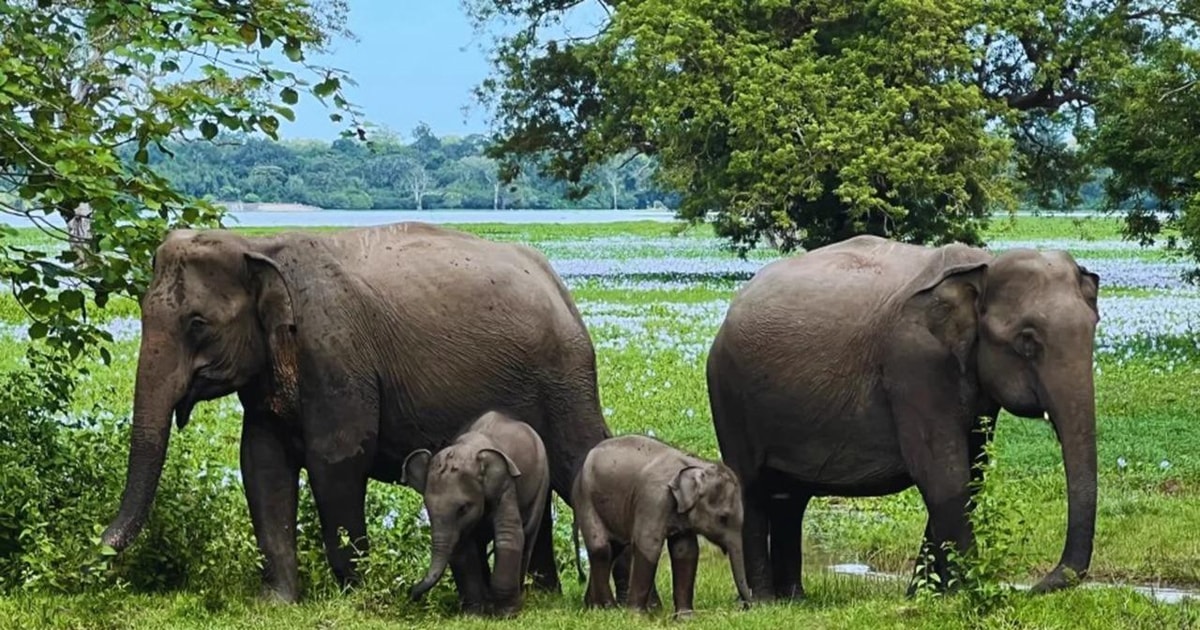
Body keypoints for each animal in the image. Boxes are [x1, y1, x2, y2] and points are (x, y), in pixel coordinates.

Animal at [401, 410, 550, 617]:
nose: (411, 593)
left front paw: (506, 614)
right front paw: (473, 615)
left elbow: (508, 536)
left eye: (463, 508)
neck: (469, 448)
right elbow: (462, 547)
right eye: (427, 508)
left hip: (542, 483)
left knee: (527, 536)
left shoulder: (506, 485)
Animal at [571, 435, 754, 618]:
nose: (745, 606)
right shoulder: (653, 499)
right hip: (585, 498)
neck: (695, 464)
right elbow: (648, 545)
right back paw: (608, 608)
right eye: (723, 518)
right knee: (601, 549)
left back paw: (592, 606)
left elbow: (685, 550)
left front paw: (685, 618)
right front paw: (638, 617)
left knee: (614, 549)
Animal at [706, 234, 1100, 601]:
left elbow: (972, 472)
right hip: (727, 391)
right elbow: (942, 473)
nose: (1031, 588)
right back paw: (762, 601)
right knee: (751, 485)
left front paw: (925, 596)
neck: (982, 266)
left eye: (1094, 329)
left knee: (790, 496)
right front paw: (966, 595)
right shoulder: (913, 363)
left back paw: (794, 599)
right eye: (1027, 341)